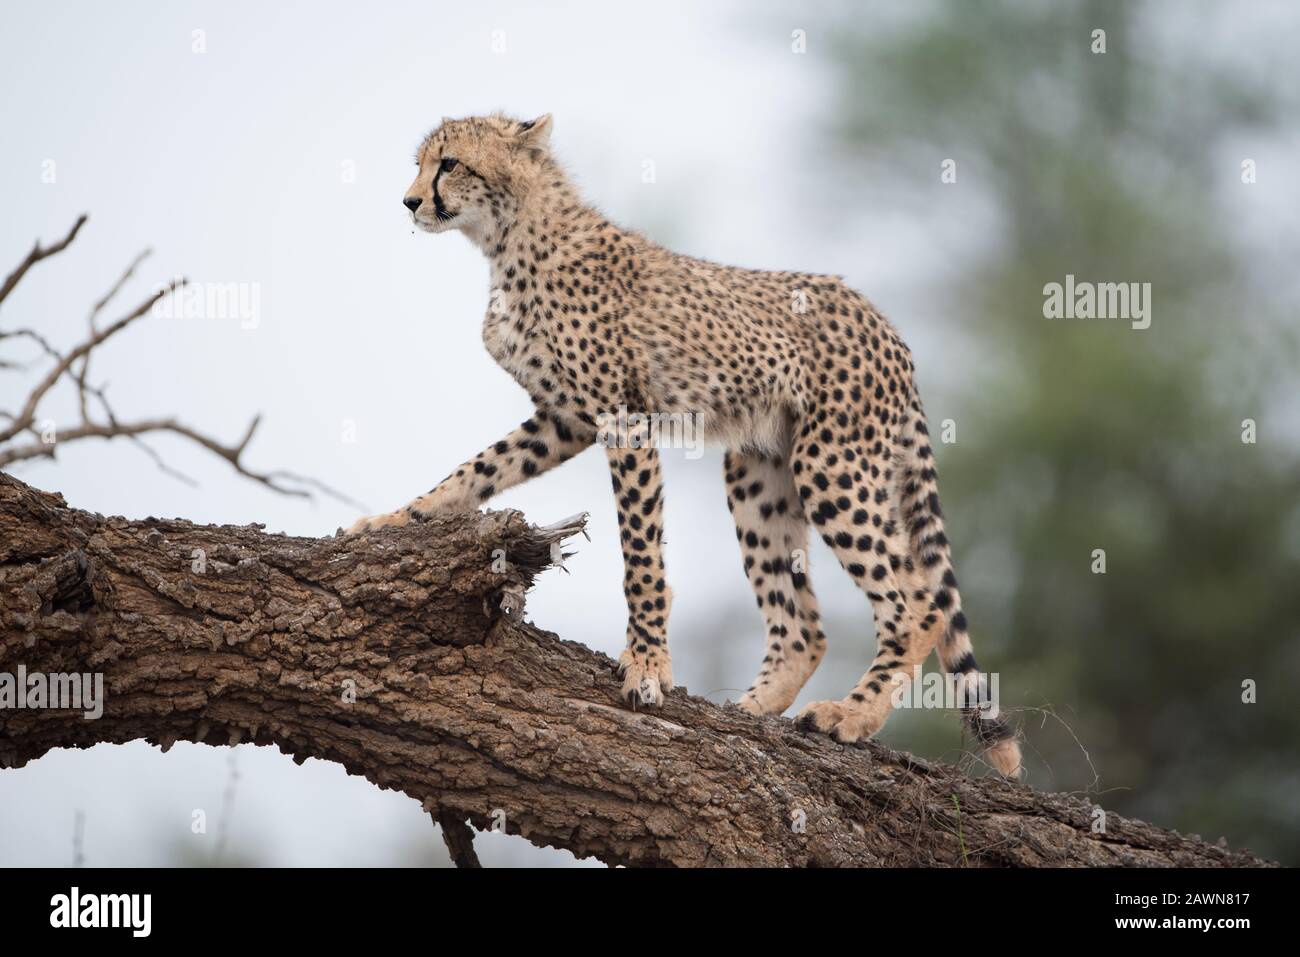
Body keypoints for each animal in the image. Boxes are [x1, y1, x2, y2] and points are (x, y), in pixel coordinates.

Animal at [347, 112, 1022, 777]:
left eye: (449, 163)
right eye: (420, 163)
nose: (410, 201)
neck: (510, 235)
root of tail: (888, 327)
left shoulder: (622, 419)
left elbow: (639, 553)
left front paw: (647, 665)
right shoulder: (564, 421)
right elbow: (474, 470)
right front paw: (395, 520)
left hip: (831, 464)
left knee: (919, 605)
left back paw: (850, 716)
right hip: (758, 472)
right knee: (804, 627)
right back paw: (749, 712)